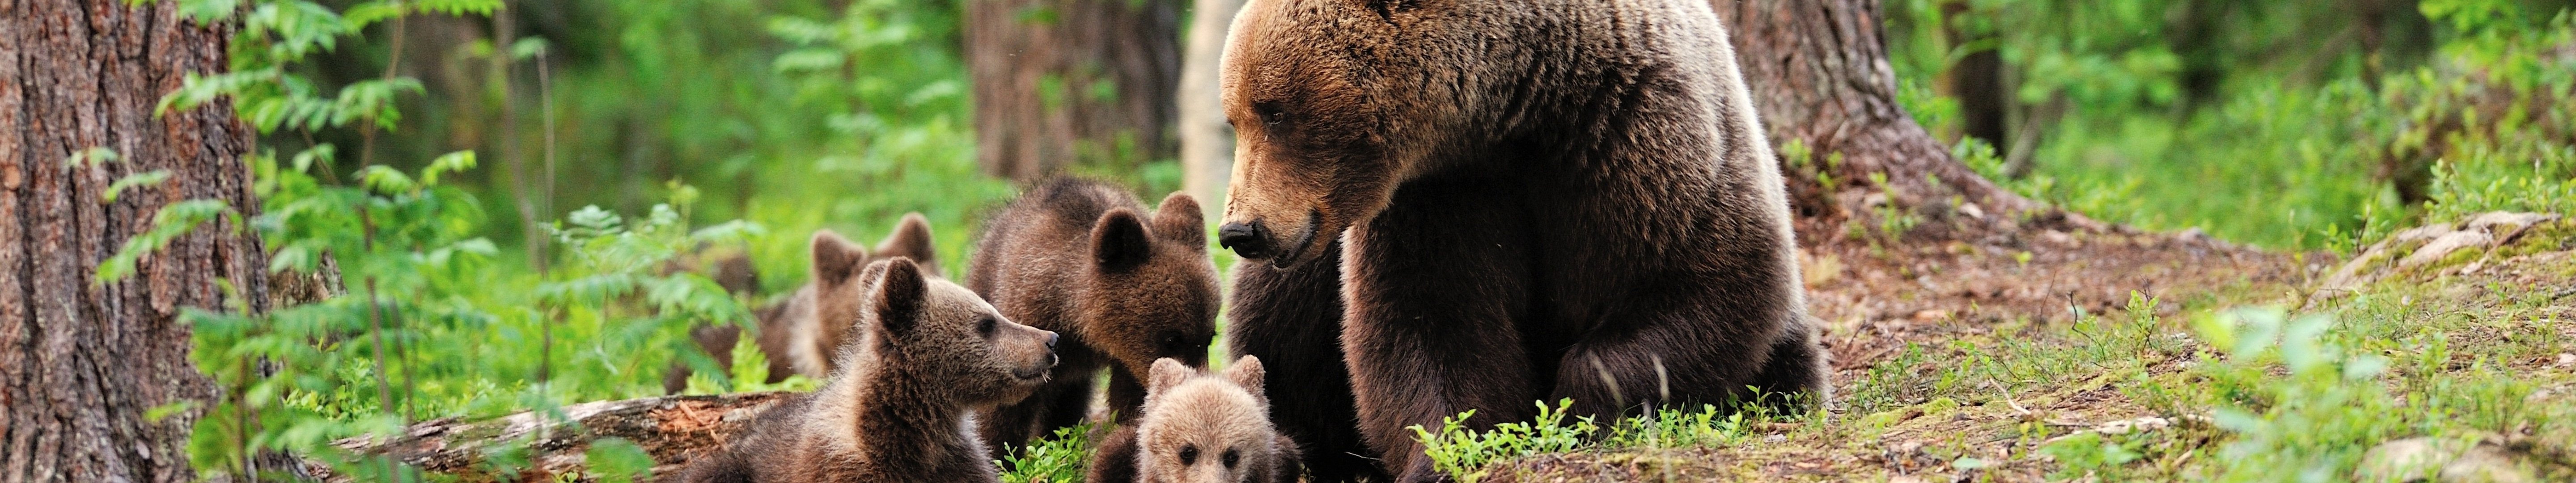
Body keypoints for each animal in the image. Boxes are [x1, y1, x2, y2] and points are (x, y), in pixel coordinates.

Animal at [963, 178, 1221, 476]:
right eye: (1172, 339)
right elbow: (1008, 404)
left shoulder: (1129, 362)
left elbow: (1131, 400)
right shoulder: (1027, 320)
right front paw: (1003, 460)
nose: (1198, 390)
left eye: (1209, 337)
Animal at [1212, 0, 1831, 480]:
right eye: (1236, 116)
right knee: (1278, 324)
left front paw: (1577, 412)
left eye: (1275, 111)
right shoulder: (1442, 195)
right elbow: (1432, 320)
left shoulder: (1641, 132)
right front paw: (1449, 451)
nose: (1241, 231)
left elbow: (1700, 280)